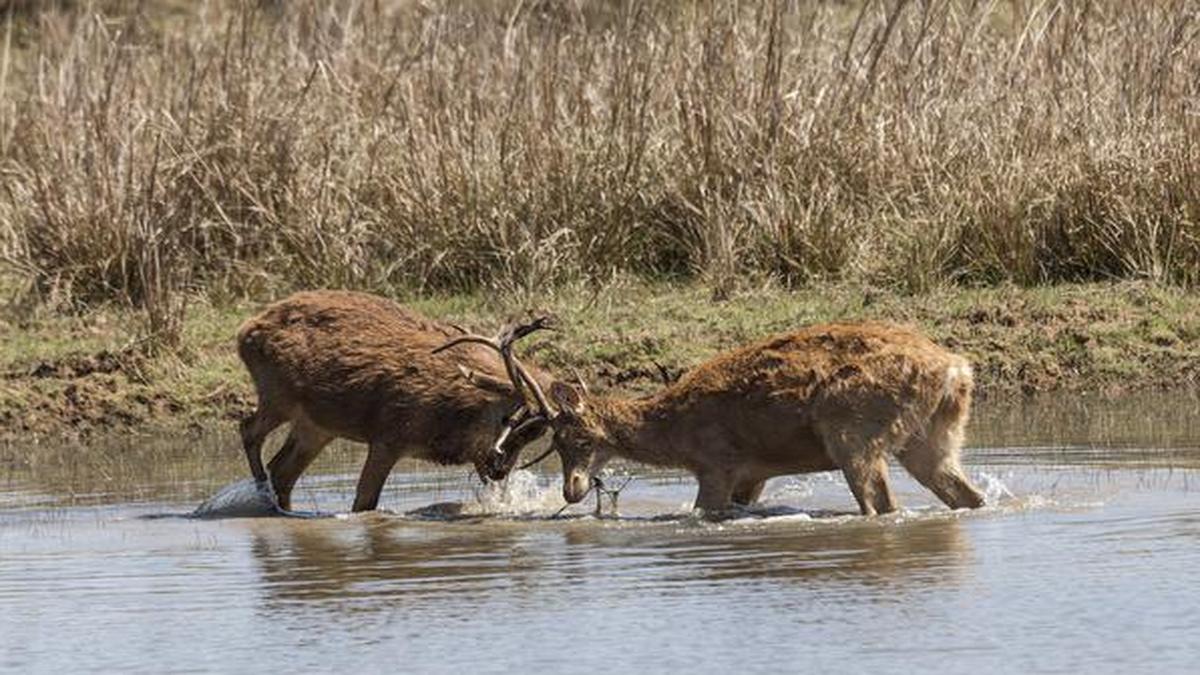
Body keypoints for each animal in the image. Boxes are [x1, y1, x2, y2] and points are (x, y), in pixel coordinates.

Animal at [236, 290, 554, 512]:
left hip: (316, 426)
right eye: (509, 422)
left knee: (282, 470)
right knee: (249, 429)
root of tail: (244, 333)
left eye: (533, 436)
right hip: (277, 394)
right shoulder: (387, 437)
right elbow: (364, 502)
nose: (501, 471)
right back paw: (261, 496)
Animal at [440, 319, 986, 518]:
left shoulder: (717, 466)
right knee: (967, 494)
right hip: (934, 437)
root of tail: (955, 369)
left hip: (854, 430)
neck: (676, 433)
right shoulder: (752, 474)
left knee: (882, 503)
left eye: (574, 436)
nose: (572, 490)